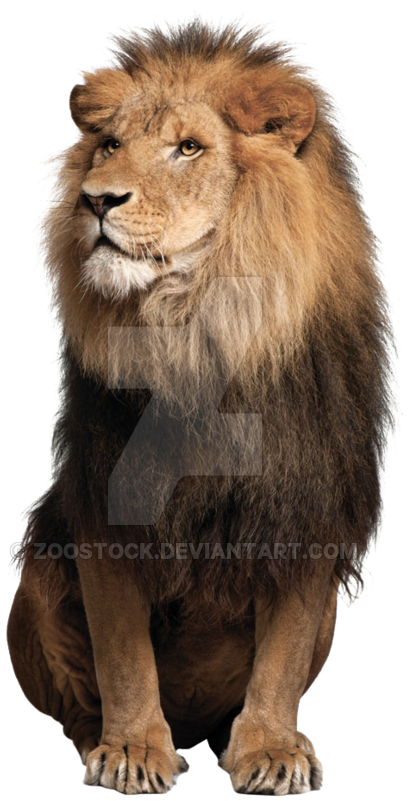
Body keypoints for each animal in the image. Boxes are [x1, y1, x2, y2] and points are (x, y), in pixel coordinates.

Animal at [7, 10, 401, 796]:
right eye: (109, 145)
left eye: (188, 148)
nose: (97, 199)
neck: (200, 331)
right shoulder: (108, 500)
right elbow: (123, 651)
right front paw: (132, 750)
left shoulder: (306, 501)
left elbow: (281, 654)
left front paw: (272, 750)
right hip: (33, 580)